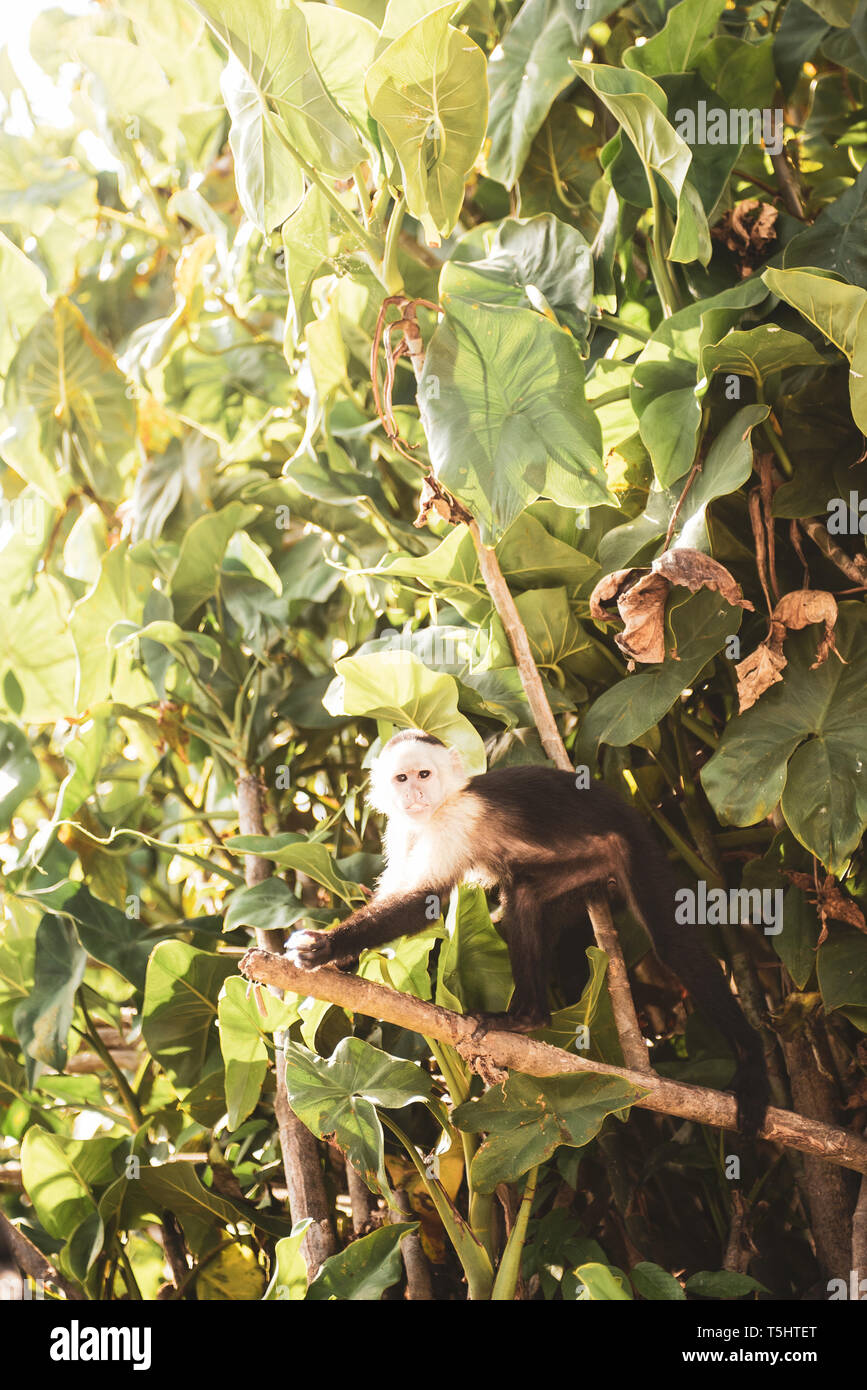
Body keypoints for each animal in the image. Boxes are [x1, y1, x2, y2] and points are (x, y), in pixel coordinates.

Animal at [286, 730, 770, 1135]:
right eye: (402, 778)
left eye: (425, 774)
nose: (416, 793)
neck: (442, 804)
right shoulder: (404, 828)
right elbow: (401, 890)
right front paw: (342, 956)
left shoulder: (452, 821)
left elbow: (425, 900)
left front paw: (329, 945)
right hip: (583, 872)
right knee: (524, 894)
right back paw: (530, 1015)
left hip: (633, 843)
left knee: (673, 946)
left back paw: (751, 1057)